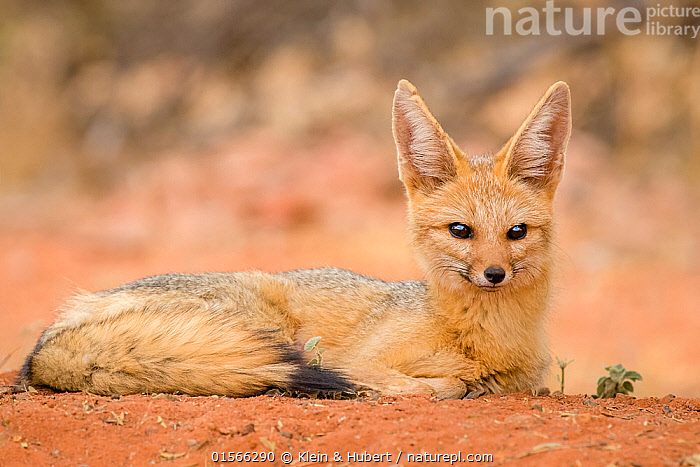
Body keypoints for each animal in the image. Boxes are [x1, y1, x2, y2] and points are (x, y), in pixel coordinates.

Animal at [18, 79, 571, 400]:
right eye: (461, 230)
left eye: (516, 232)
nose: (494, 274)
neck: (484, 338)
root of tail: (52, 337)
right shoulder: (362, 359)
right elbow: (433, 384)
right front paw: (436, 384)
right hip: (263, 323)